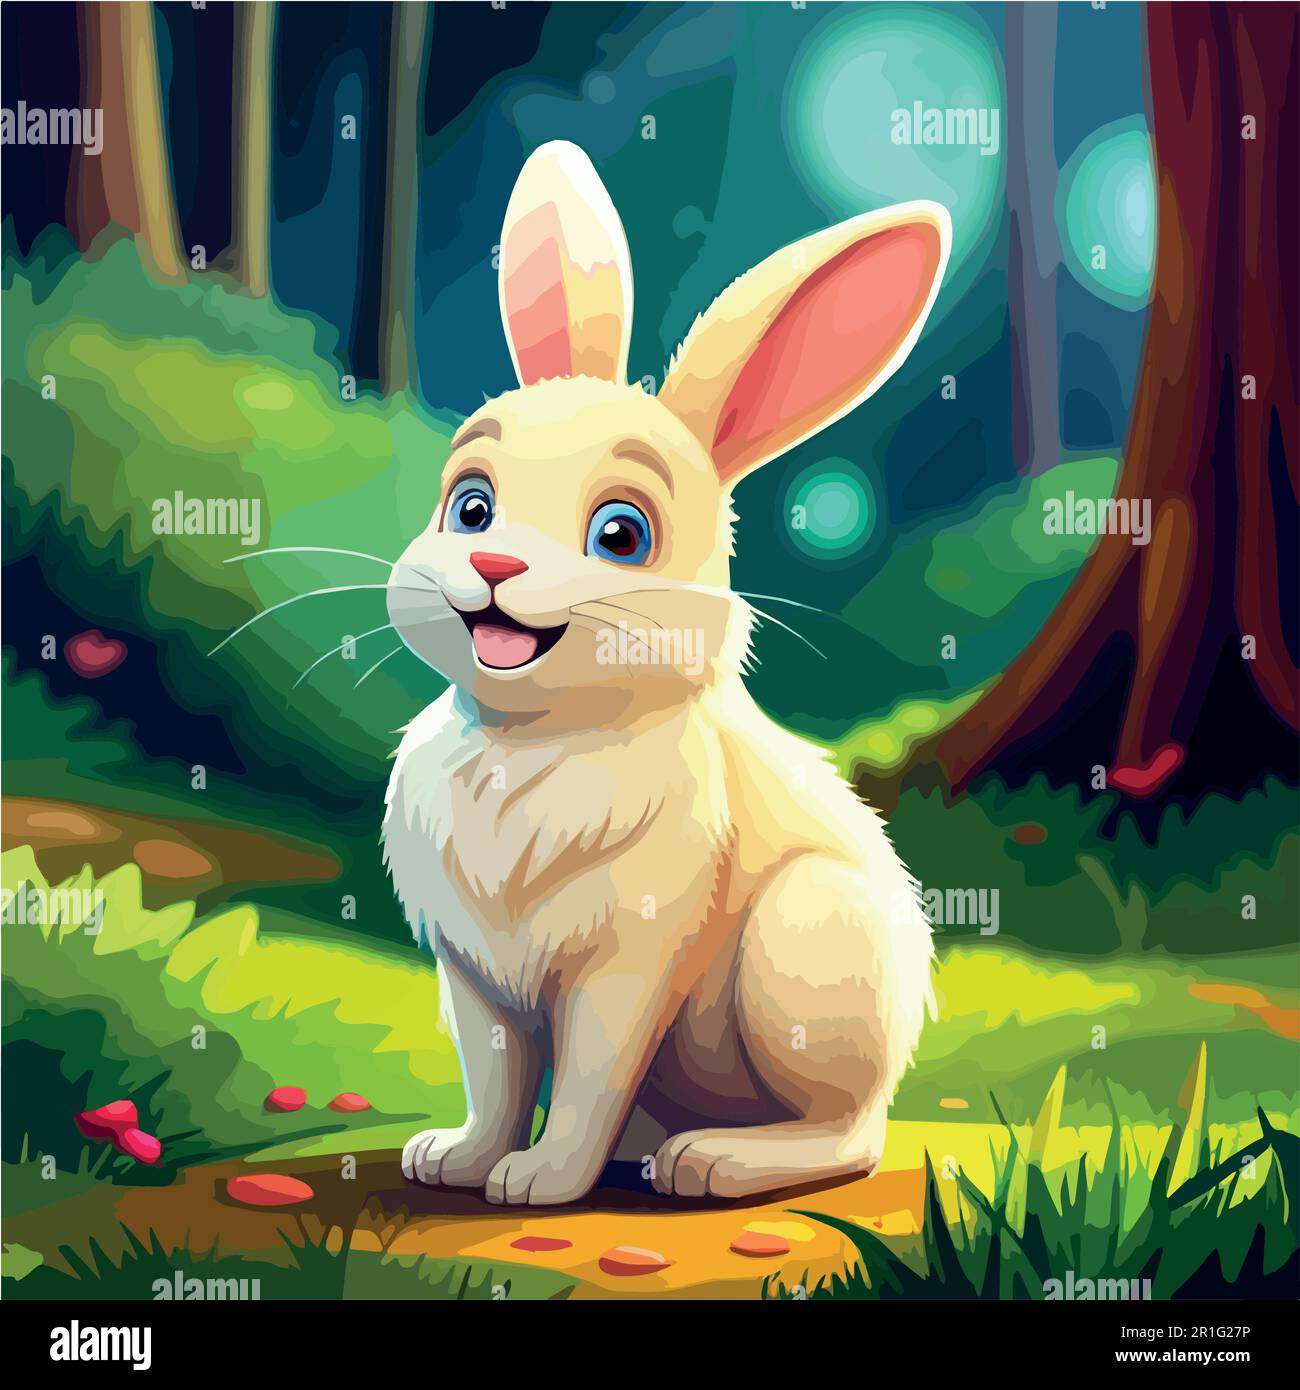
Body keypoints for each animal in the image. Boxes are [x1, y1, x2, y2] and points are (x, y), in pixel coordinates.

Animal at [382, 140, 950, 1205]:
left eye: (621, 535)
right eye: (471, 508)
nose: (494, 564)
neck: (540, 738)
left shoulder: (629, 966)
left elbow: (587, 1075)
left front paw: (537, 1182)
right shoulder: (472, 971)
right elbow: (495, 1074)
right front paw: (457, 1162)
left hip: (804, 947)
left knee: (849, 1135)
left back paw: (711, 1163)